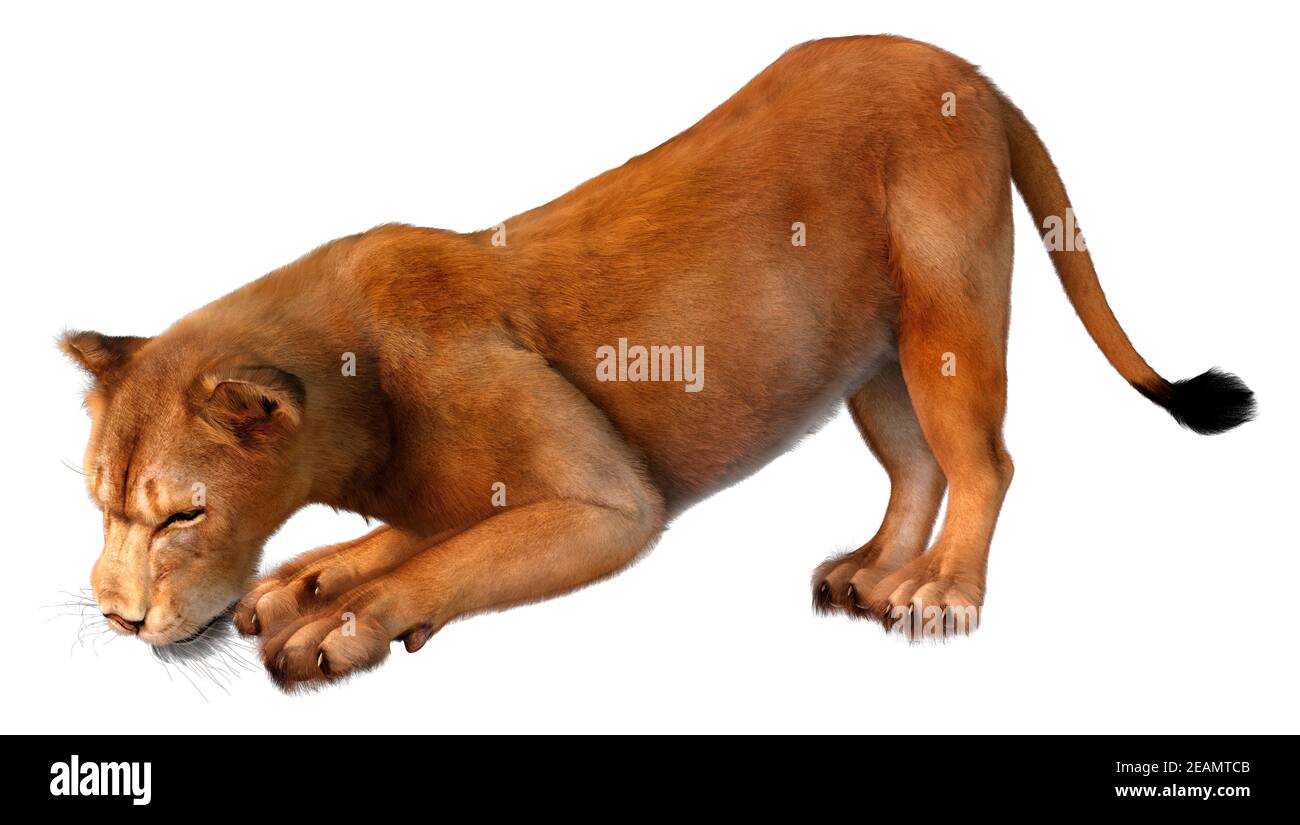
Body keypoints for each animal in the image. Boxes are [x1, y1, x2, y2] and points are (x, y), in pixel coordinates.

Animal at [61, 36, 1254, 688]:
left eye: (180, 515)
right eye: (101, 504)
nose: (116, 617)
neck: (353, 401)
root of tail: (963, 65)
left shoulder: (607, 499)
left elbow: (448, 558)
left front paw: (340, 620)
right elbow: (429, 530)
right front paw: (309, 575)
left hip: (946, 314)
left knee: (984, 463)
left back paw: (940, 591)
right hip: (870, 357)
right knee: (918, 465)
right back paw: (871, 572)